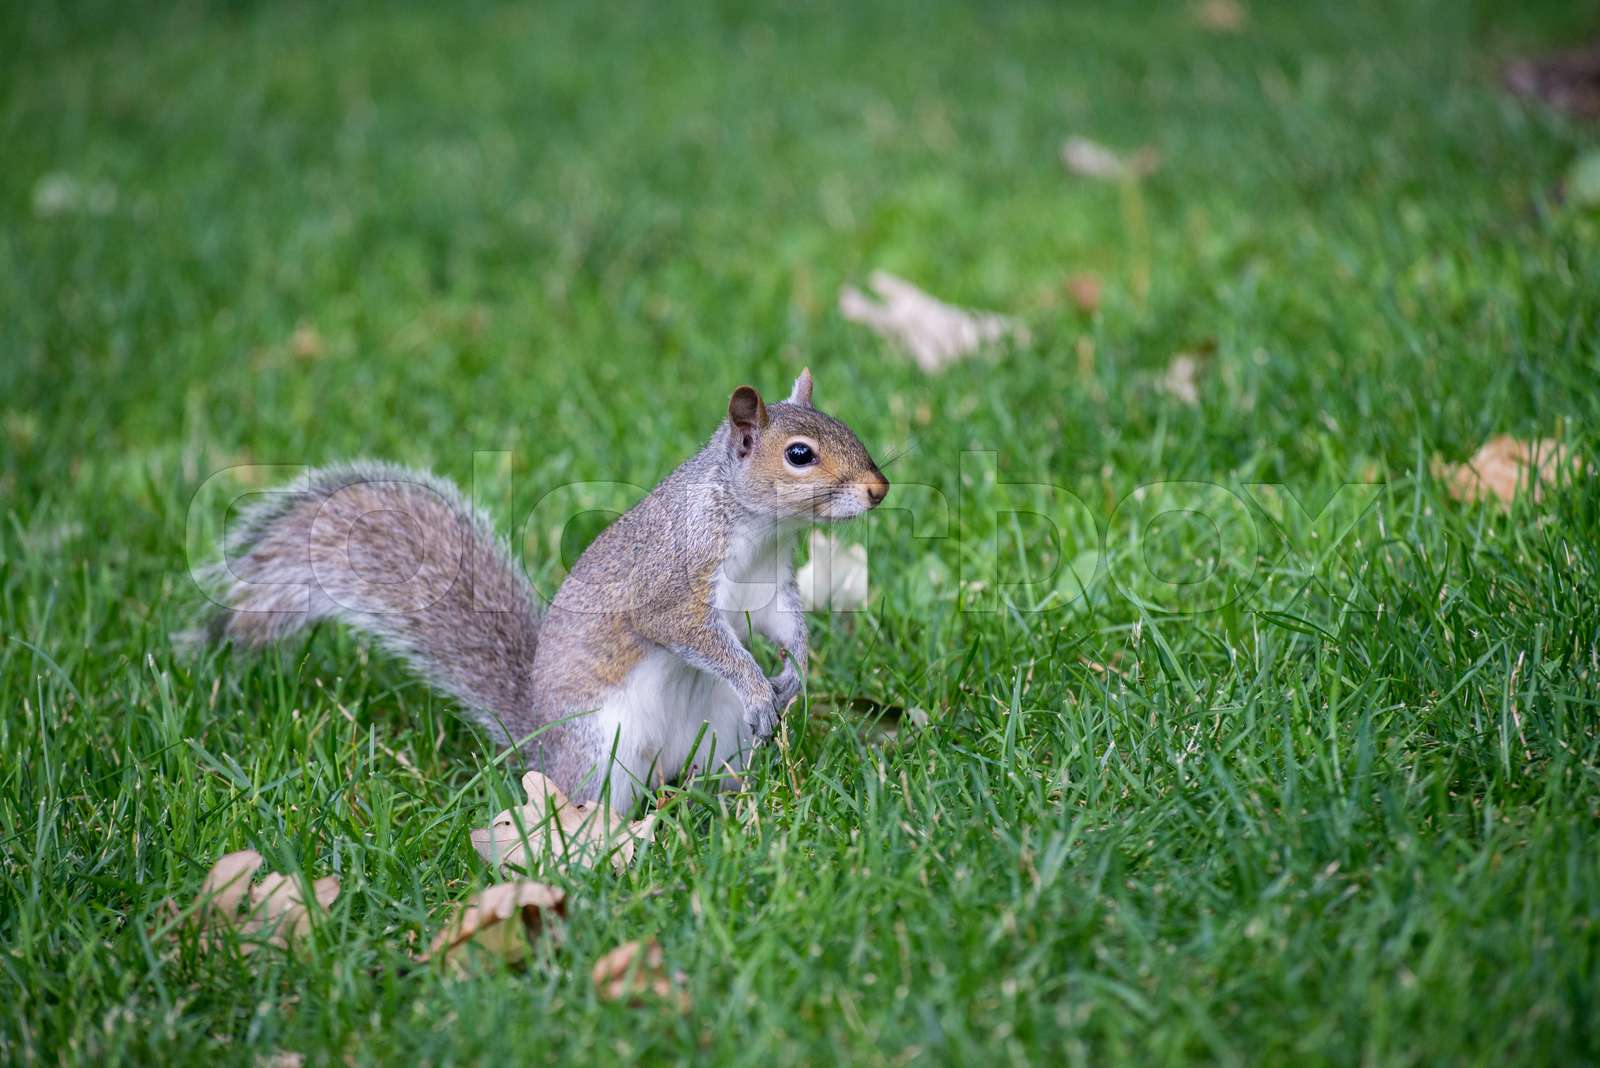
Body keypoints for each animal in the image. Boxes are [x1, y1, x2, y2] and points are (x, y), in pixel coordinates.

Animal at [191, 369, 889, 812]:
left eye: (846, 426)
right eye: (799, 454)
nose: (879, 489)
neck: (755, 528)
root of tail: (540, 743)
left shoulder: (768, 587)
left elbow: (784, 625)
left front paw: (794, 672)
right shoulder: (672, 584)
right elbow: (695, 635)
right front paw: (755, 683)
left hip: (722, 740)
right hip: (600, 749)